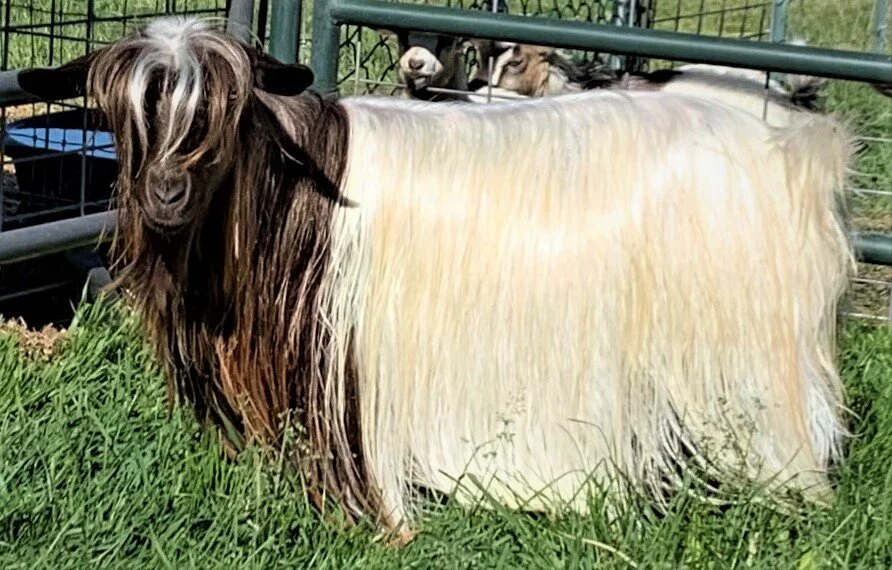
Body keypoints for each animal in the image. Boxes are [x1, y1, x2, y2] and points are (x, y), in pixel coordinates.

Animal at [20, 16, 857, 538]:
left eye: (223, 110)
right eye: (123, 112)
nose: (165, 195)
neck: (295, 193)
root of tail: (803, 140)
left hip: (746, 360)